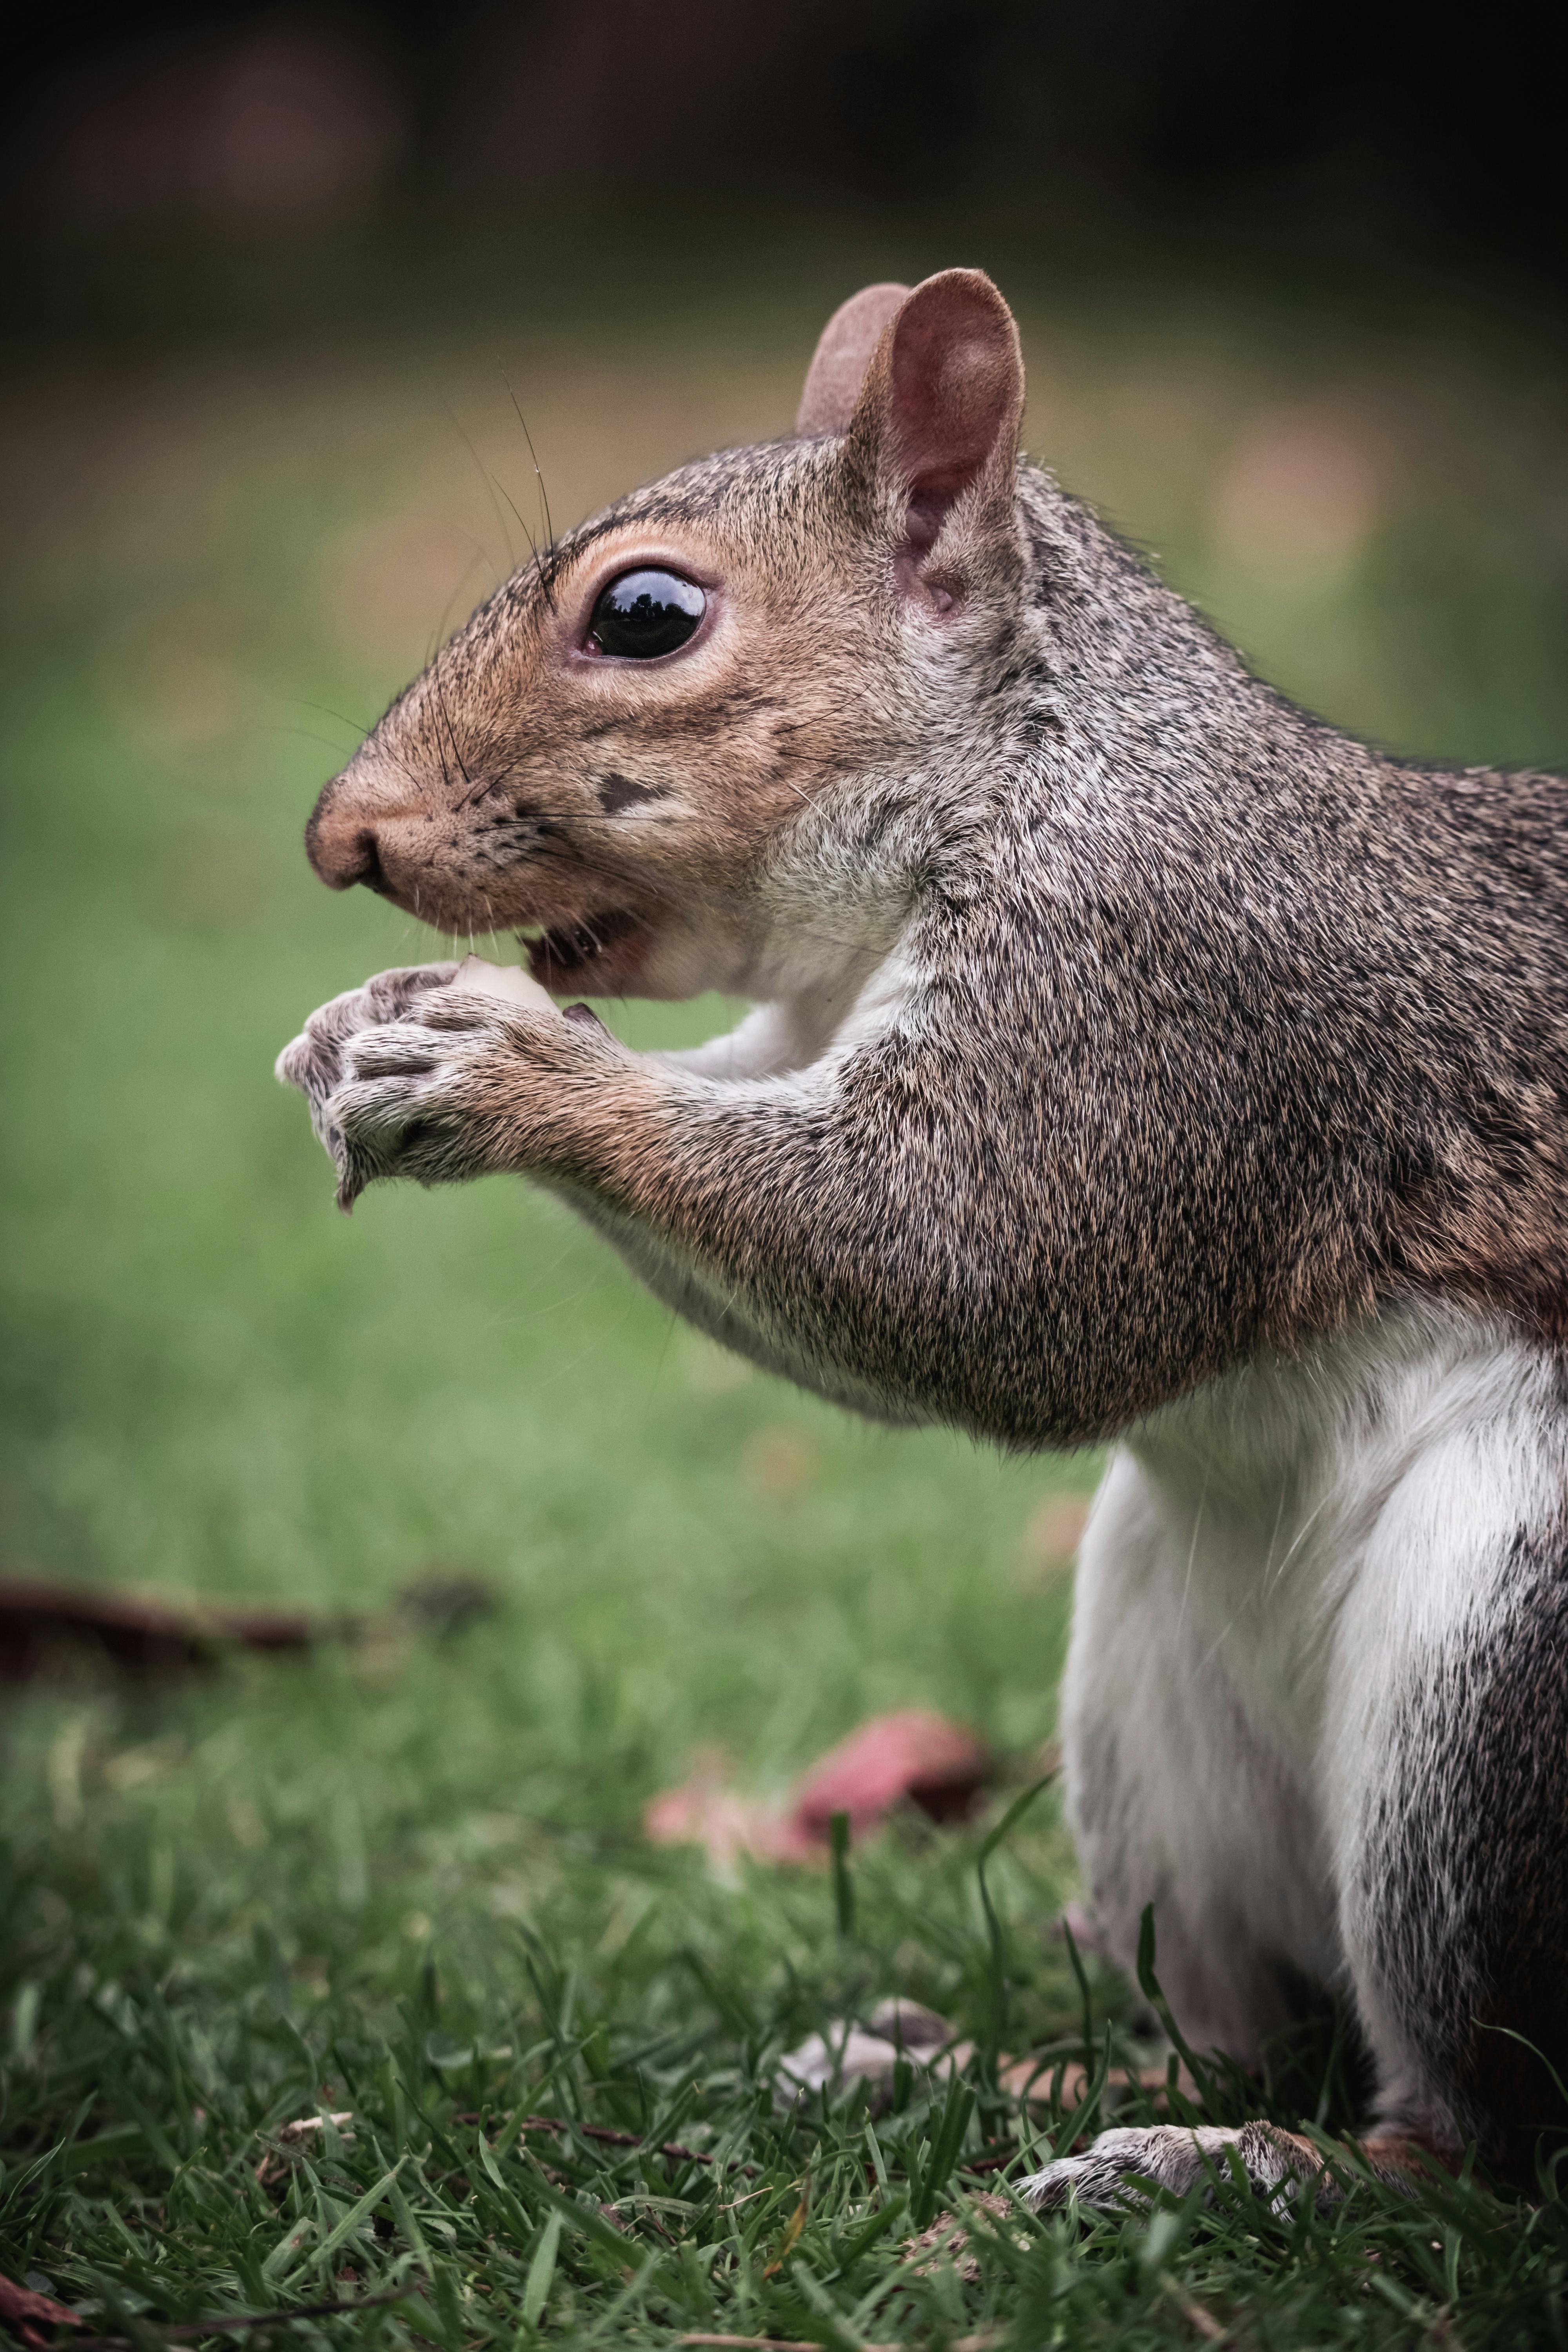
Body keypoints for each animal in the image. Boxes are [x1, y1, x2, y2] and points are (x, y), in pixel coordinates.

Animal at [279, 271, 1568, 2204]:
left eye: (644, 614)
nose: (338, 838)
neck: (1022, 769)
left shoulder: (1157, 995)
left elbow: (967, 1264)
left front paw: (500, 1066)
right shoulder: (797, 1032)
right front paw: (360, 1029)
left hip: (1487, 1694)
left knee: (1474, 2137)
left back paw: (1244, 2166)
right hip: (1155, 1706)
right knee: (1239, 2015)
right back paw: (977, 2070)